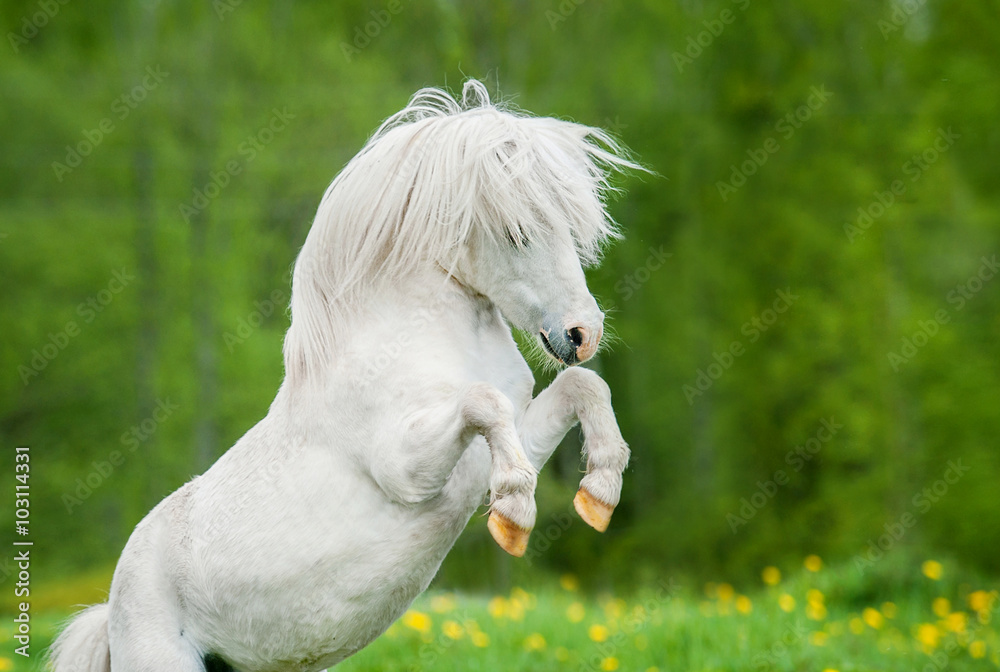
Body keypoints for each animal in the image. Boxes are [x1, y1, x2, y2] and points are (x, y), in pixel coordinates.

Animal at [51, 79, 641, 672]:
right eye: (517, 232)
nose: (583, 333)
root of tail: (112, 607)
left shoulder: (491, 458)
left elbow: (582, 387)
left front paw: (599, 495)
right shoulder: (408, 471)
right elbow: (483, 402)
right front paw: (516, 516)